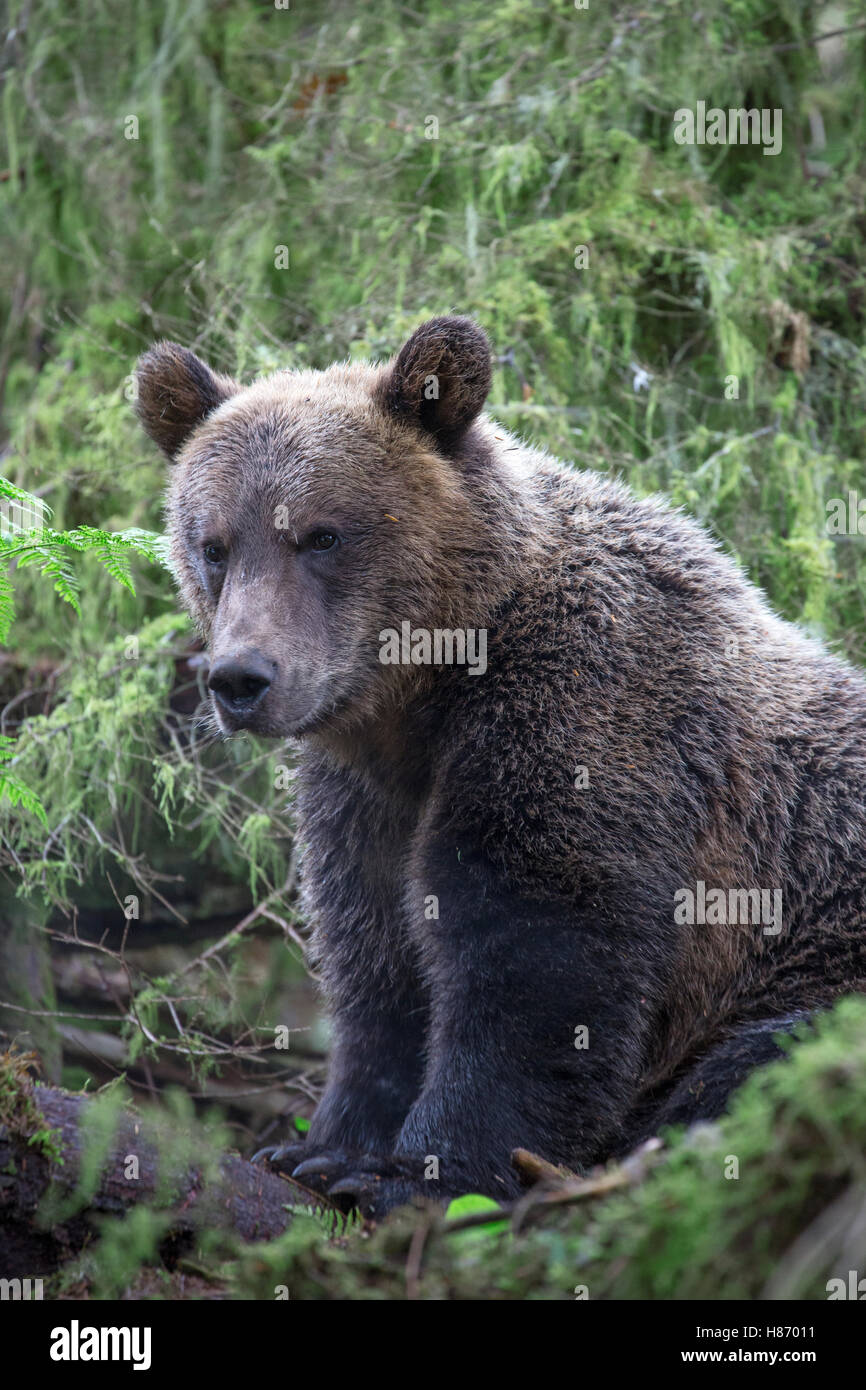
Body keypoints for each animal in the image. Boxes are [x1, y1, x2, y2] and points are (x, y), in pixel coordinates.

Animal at [135, 316, 866, 1217]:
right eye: (213, 545)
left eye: (321, 534)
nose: (241, 678)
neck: (425, 698)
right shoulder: (364, 798)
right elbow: (377, 957)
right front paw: (322, 1144)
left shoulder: (589, 713)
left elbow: (536, 955)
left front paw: (413, 1171)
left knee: (754, 1063)